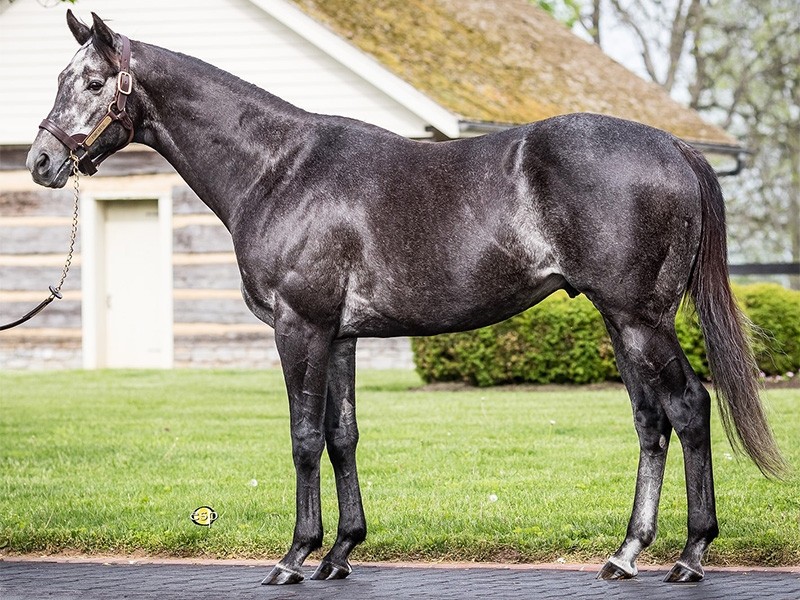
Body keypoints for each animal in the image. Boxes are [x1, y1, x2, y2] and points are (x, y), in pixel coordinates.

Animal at [27, 11, 785, 586]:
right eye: (61, 78)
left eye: (92, 81)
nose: (41, 161)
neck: (280, 169)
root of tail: (676, 149)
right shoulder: (340, 335)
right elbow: (342, 436)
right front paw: (340, 552)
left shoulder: (299, 328)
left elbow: (303, 437)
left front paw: (294, 556)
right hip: (621, 322)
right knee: (650, 422)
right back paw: (628, 553)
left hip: (640, 318)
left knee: (688, 408)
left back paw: (690, 555)